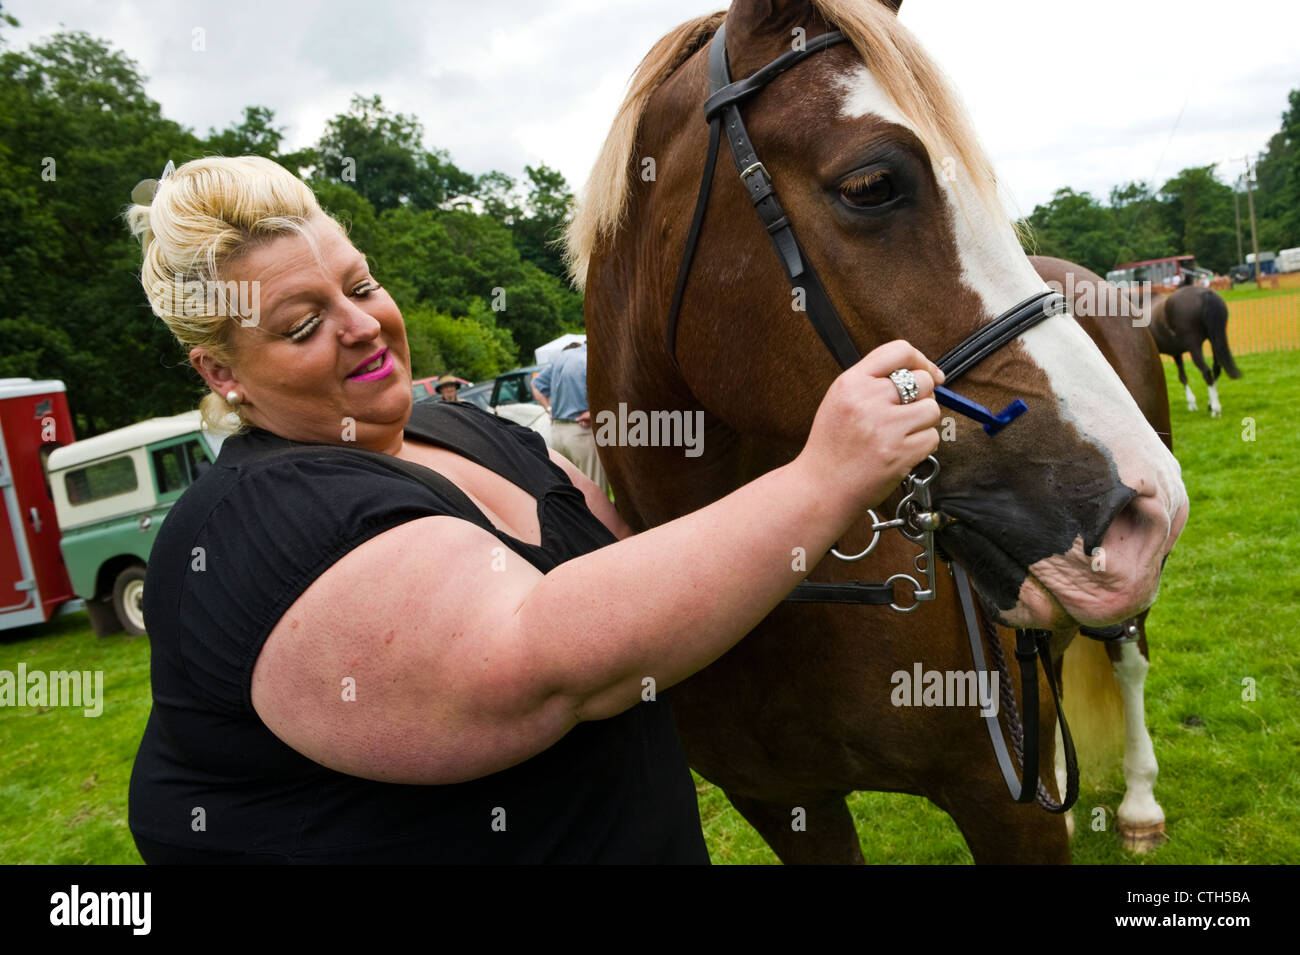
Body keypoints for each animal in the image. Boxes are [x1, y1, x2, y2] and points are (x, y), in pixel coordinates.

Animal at [568, 0, 1188, 863]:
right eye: (872, 185)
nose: (1144, 503)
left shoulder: (1004, 806)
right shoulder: (786, 804)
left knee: (1128, 660)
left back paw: (1138, 804)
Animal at [1148, 285, 1242, 417]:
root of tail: (1204, 293)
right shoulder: (1176, 353)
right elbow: (1182, 376)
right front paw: (1191, 403)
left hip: (1194, 346)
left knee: (1207, 372)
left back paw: (1215, 408)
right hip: (1214, 340)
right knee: (1216, 369)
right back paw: (1210, 403)